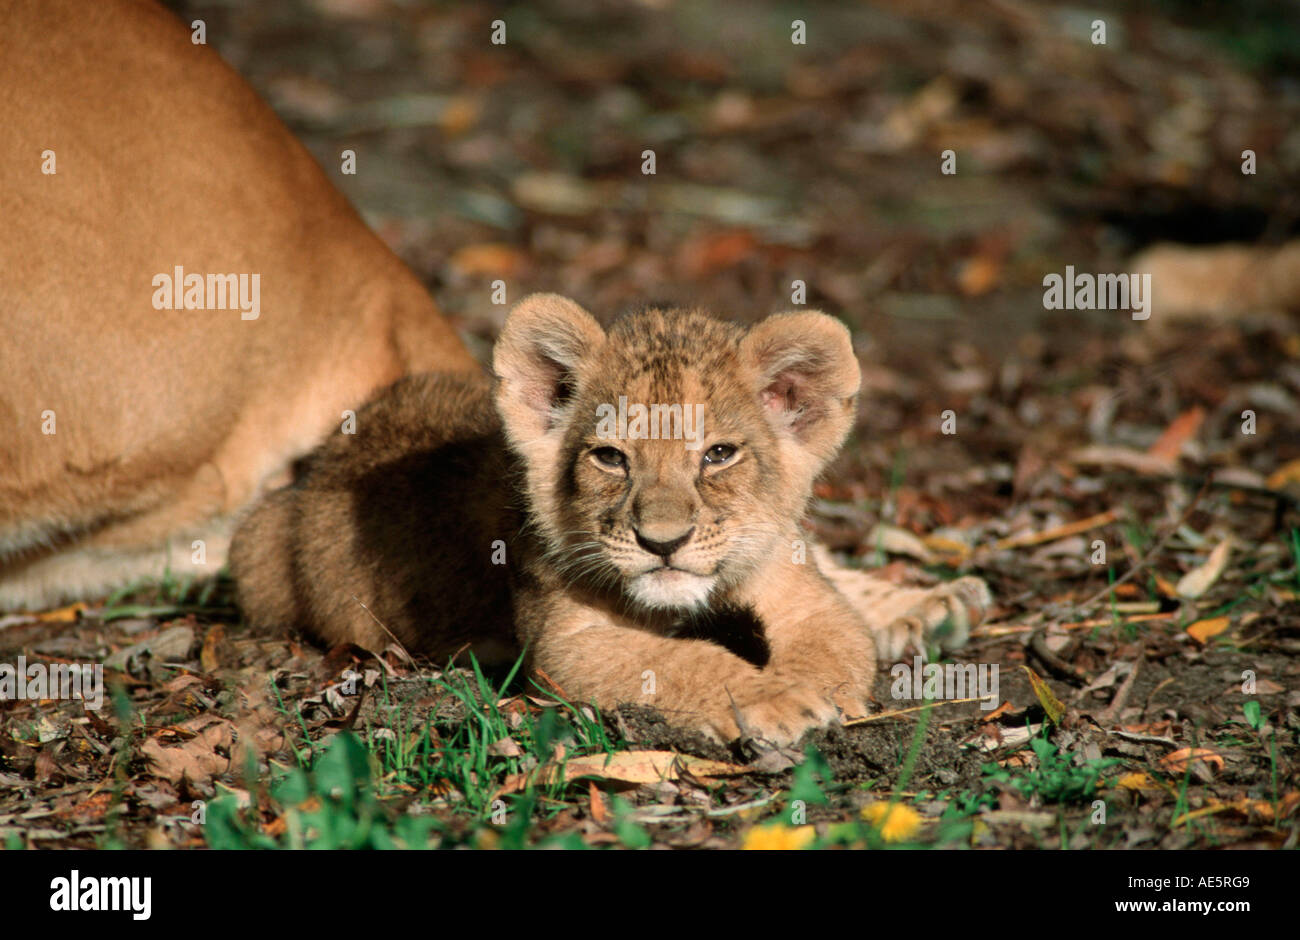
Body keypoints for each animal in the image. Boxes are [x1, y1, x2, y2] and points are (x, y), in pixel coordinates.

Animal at [230, 294, 991, 745]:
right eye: (610, 458)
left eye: (718, 455)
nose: (663, 542)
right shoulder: (570, 643)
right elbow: (688, 662)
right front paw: (779, 699)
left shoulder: (801, 595)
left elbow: (835, 640)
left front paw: (810, 686)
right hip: (256, 556)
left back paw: (935, 606)